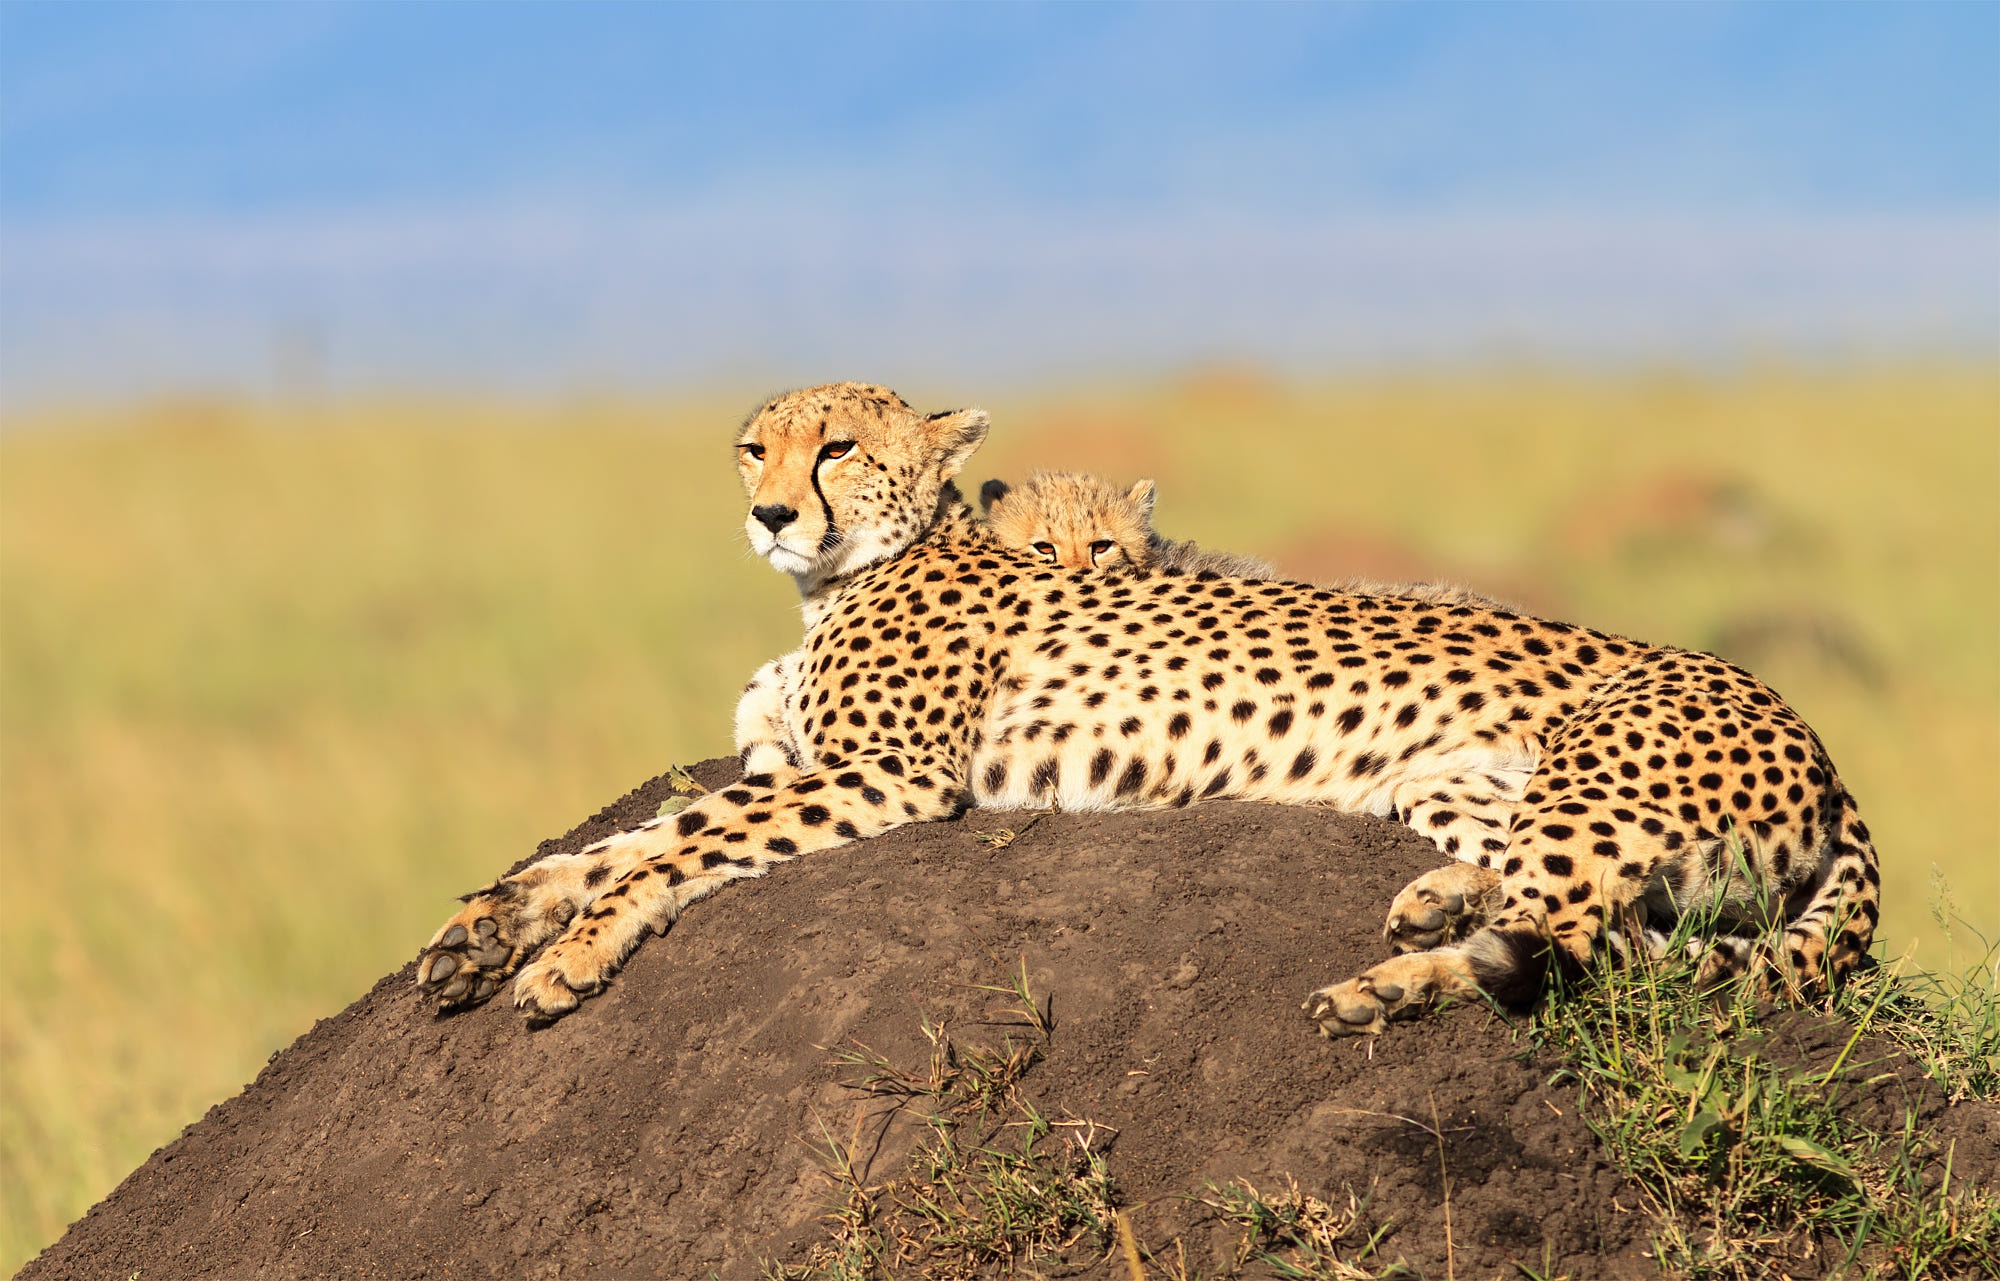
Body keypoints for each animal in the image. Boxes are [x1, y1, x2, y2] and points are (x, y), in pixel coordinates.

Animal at [418, 381, 1880, 1039]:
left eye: (835, 447)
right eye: (751, 447)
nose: (771, 512)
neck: (848, 574)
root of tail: (1809, 728)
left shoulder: (884, 778)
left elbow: (675, 852)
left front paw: (572, 954)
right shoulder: (797, 765)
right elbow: (625, 839)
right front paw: (487, 924)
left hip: (1594, 785)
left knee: (1577, 940)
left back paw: (1386, 981)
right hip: (1466, 781)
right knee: (1600, 927)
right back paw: (1427, 919)